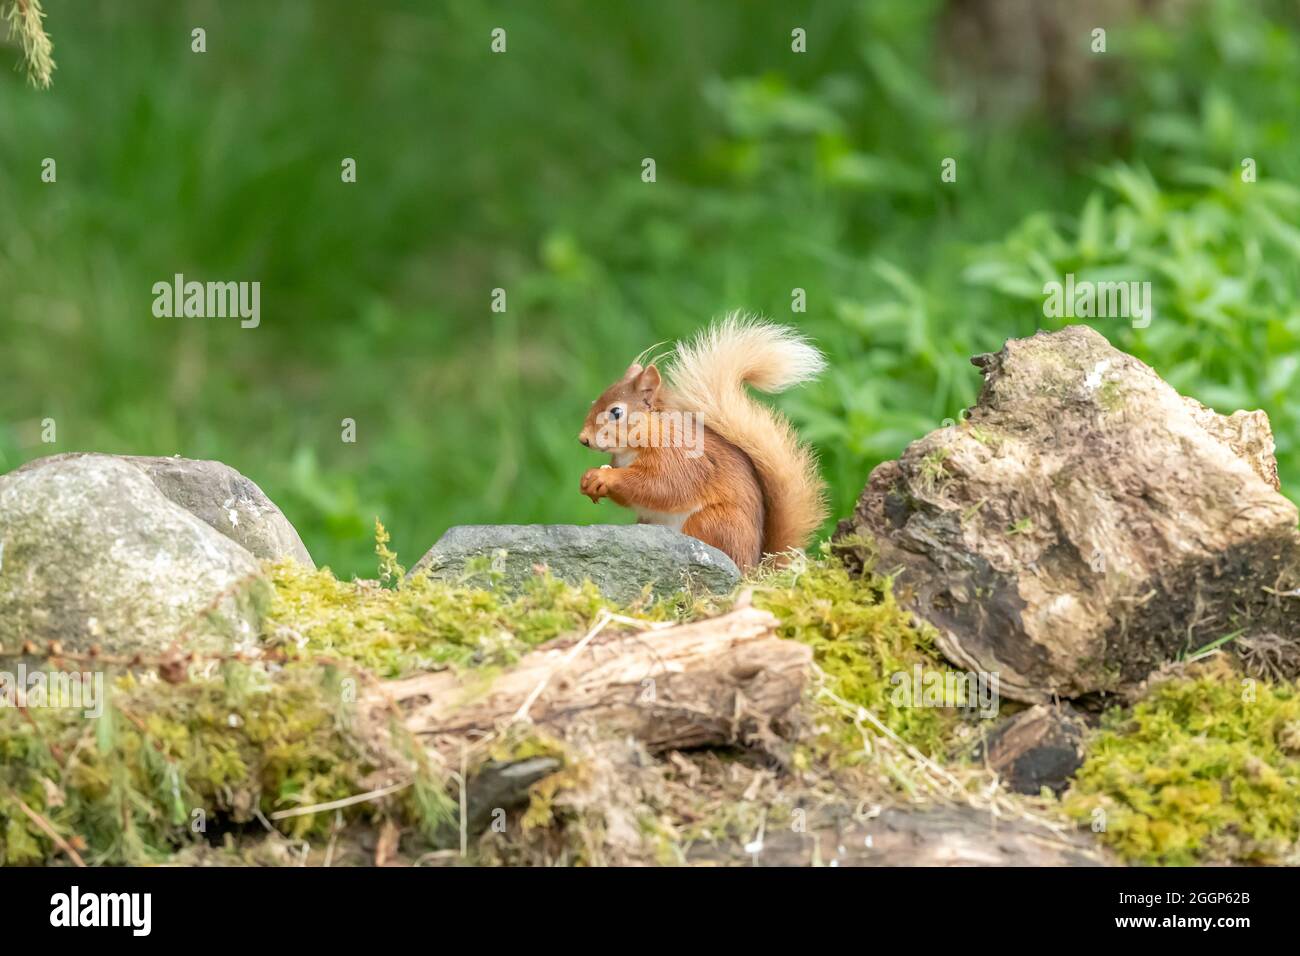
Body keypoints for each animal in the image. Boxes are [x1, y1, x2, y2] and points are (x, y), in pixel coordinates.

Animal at [578, 314, 828, 570]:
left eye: (616, 412)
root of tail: (753, 567)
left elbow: (660, 486)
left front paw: (604, 477)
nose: (583, 439)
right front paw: (588, 480)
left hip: (713, 523)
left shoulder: (679, 457)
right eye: (595, 401)